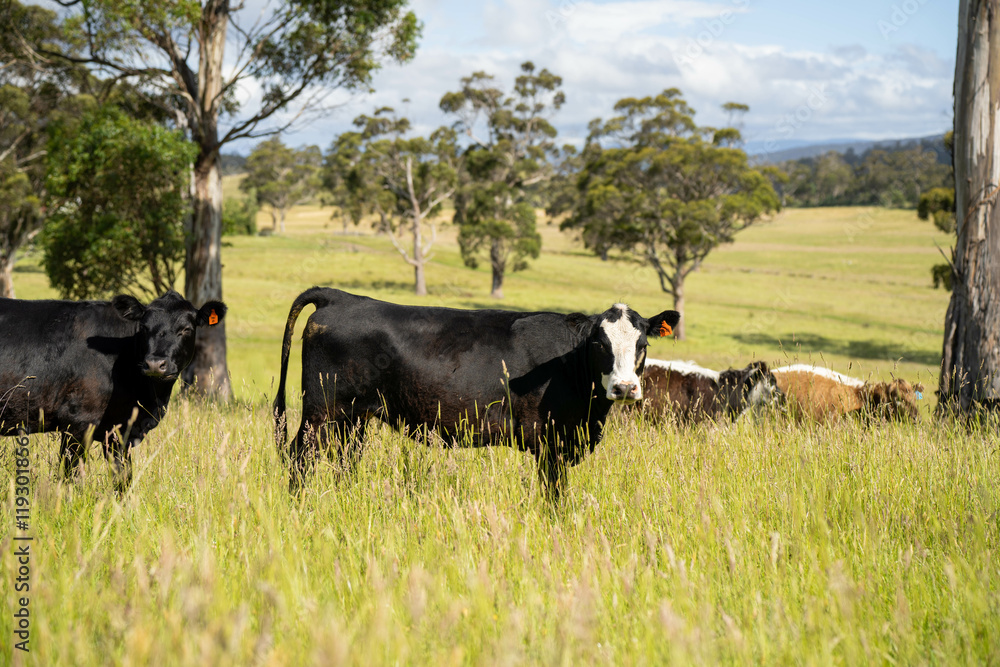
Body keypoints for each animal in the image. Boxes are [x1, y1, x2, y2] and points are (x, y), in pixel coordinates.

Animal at [0, 291, 226, 493]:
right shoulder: (78, 420)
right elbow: (70, 477)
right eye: (144, 327)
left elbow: (122, 478)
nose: (155, 364)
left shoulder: (119, 430)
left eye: (186, 329)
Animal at [273, 287, 679, 501]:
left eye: (642, 344)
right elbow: (554, 494)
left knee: (344, 458)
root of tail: (339, 296)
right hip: (320, 412)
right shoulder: (551, 443)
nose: (624, 388)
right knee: (300, 457)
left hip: (353, 416)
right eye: (599, 344)